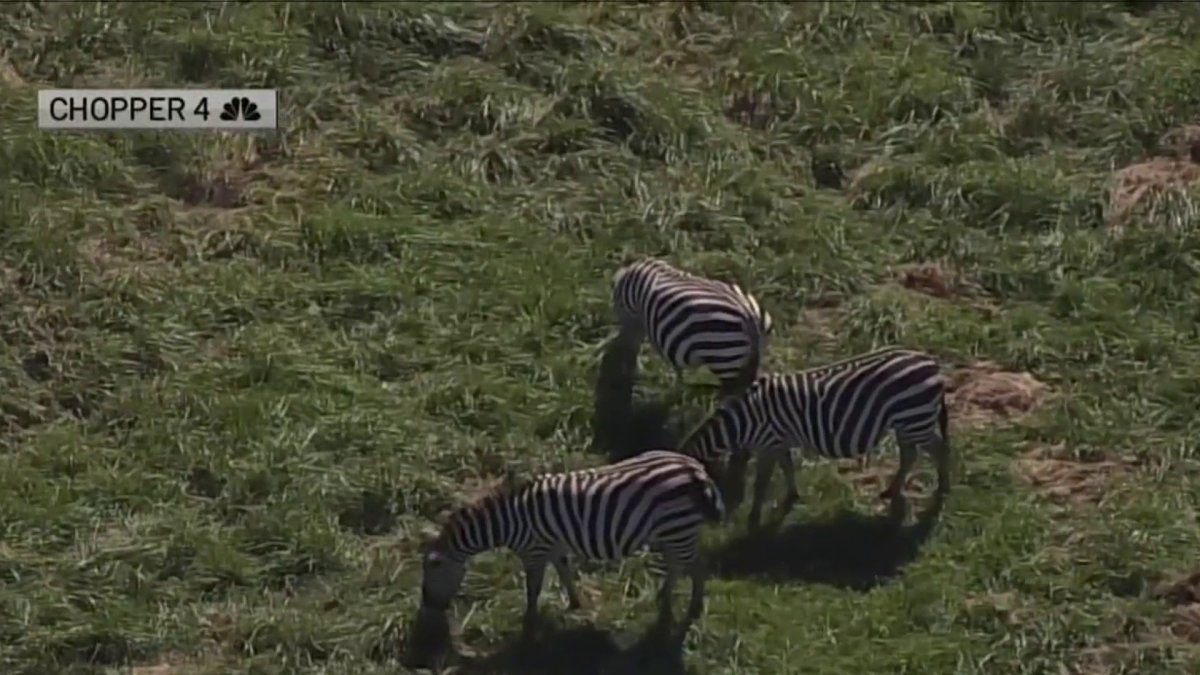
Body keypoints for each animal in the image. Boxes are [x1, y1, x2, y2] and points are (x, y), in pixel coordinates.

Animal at [419, 450, 726, 638]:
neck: (509, 521)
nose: (427, 606)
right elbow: (564, 572)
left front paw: (529, 623)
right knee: (678, 565)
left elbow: (533, 588)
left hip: (678, 530)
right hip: (671, 531)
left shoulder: (534, 551)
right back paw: (664, 596)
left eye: (432, 572)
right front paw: (575, 604)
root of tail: (695, 469)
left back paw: (694, 607)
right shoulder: (553, 546)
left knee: (698, 565)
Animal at [678, 346, 951, 530]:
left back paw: (942, 491)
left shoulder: (769, 443)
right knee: (910, 454)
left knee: (938, 449)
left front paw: (753, 519)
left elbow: (761, 483)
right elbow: (786, 468)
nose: (720, 522)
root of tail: (930, 361)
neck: (742, 422)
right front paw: (791, 497)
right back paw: (893, 490)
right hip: (906, 422)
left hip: (915, 419)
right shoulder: (779, 442)